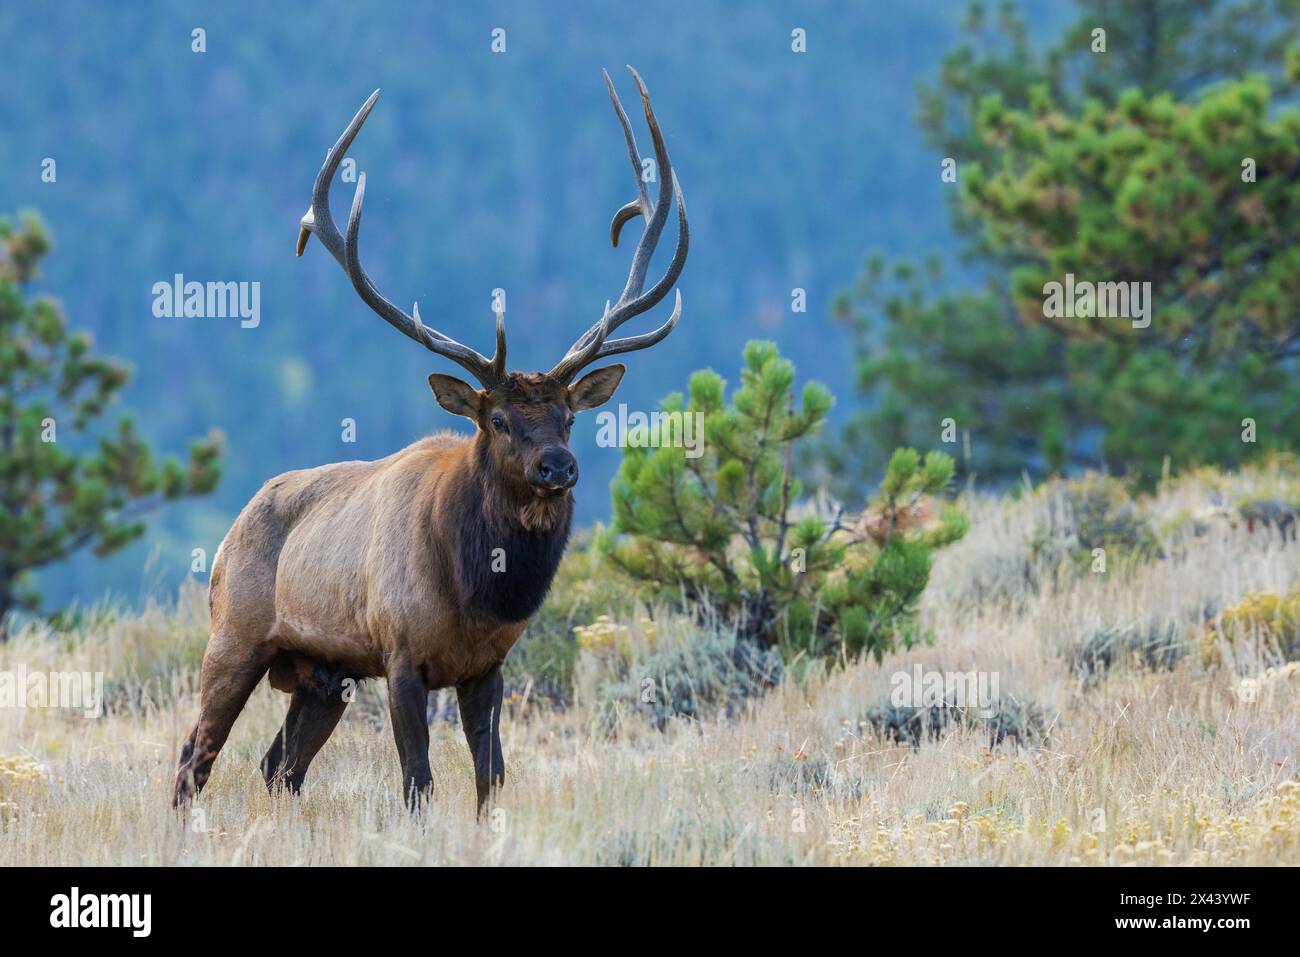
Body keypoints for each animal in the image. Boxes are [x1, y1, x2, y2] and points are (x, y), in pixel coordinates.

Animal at [172, 67, 688, 812]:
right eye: (497, 420)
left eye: (568, 416)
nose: (558, 466)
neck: (476, 590)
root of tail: (229, 531)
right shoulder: (400, 654)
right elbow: (418, 780)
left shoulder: (489, 665)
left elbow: (490, 777)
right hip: (233, 637)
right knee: (194, 758)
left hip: (323, 673)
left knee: (278, 767)